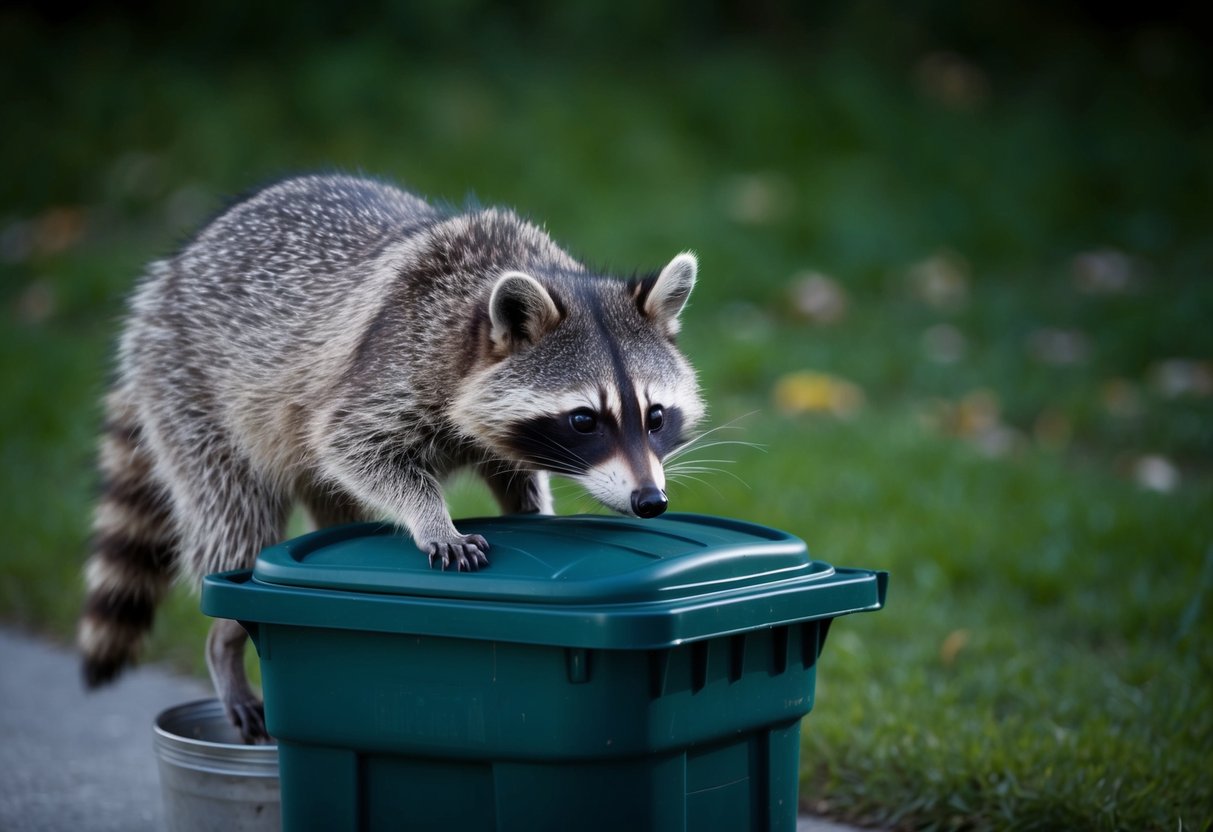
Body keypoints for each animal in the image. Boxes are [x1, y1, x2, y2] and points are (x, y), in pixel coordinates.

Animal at [78, 174, 705, 741]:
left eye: (654, 417)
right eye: (584, 421)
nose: (650, 501)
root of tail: (171, 272)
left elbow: (512, 473)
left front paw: (532, 513)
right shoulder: (393, 362)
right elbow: (352, 445)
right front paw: (432, 518)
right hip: (188, 387)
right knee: (235, 520)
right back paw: (226, 644)